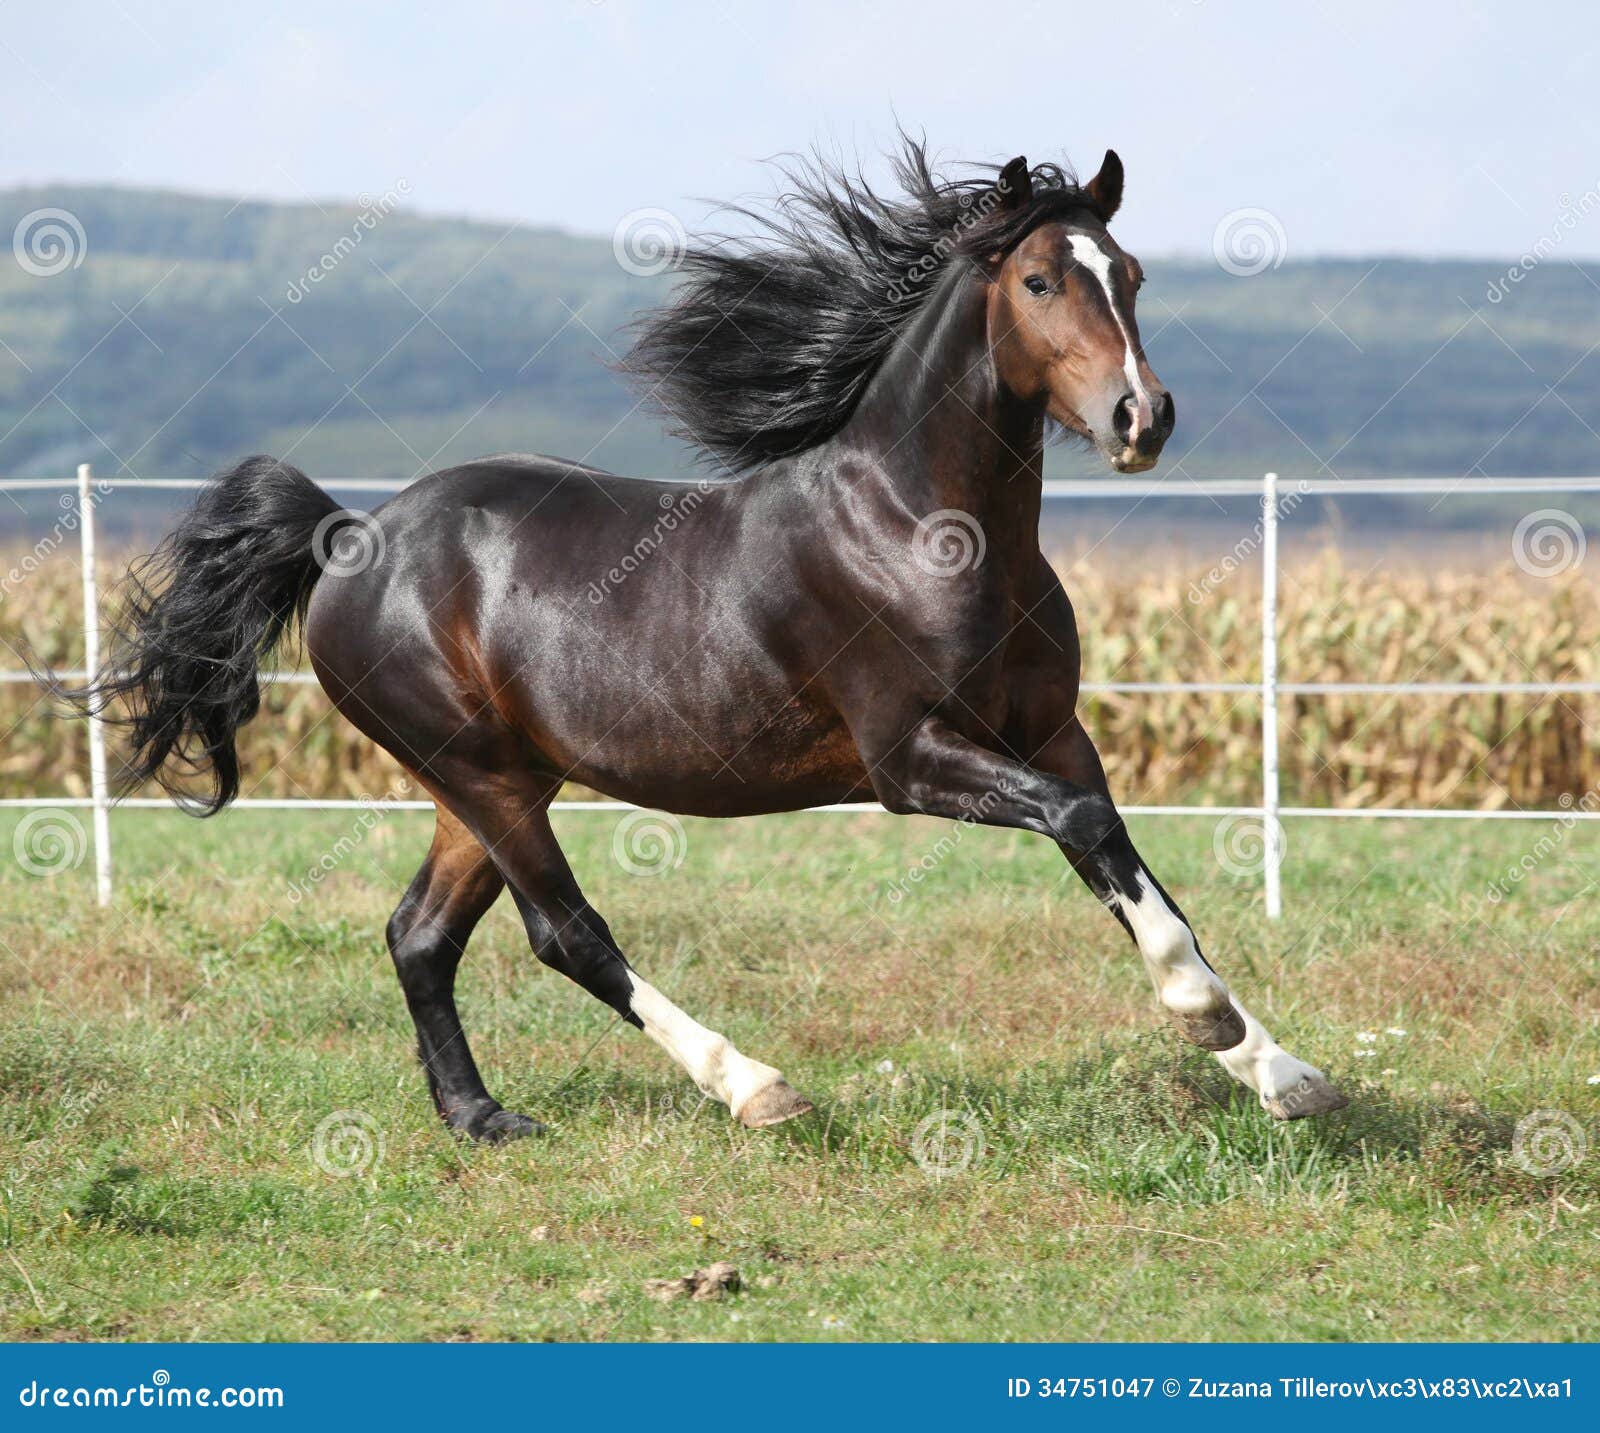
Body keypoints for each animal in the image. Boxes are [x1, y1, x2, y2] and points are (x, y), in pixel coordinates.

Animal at [82, 140, 1347, 1141]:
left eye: (1128, 275)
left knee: (419, 935)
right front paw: (1210, 1022)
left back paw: (482, 1117)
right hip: (480, 773)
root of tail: (345, 530)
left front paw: (1279, 1069)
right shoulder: (910, 758)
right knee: (563, 932)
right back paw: (754, 1086)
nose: (1143, 419)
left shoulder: (1049, 733)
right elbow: (1087, 830)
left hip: (490, 778)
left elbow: (1121, 858)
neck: (918, 529)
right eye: (1040, 278)